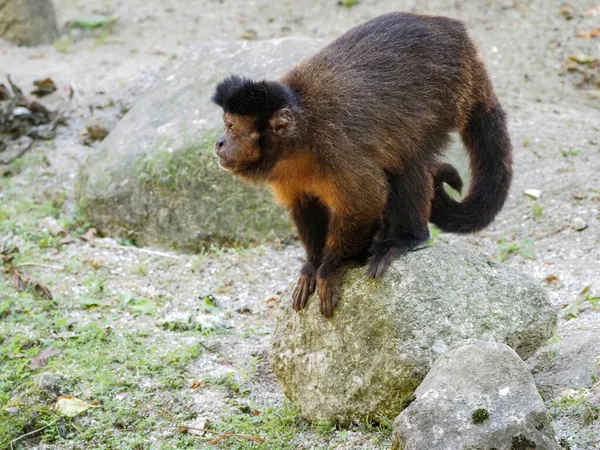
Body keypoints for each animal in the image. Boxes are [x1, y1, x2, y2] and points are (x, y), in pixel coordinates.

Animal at [210, 12, 510, 318]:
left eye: (231, 127)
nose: (219, 143)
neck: (300, 137)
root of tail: (462, 40)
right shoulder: (284, 172)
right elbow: (305, 205)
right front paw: (313, 265)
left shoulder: (335, 145)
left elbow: (365, 201)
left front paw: (330, 267)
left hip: (446, 95)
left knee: (407, 161)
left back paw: (405, 238)